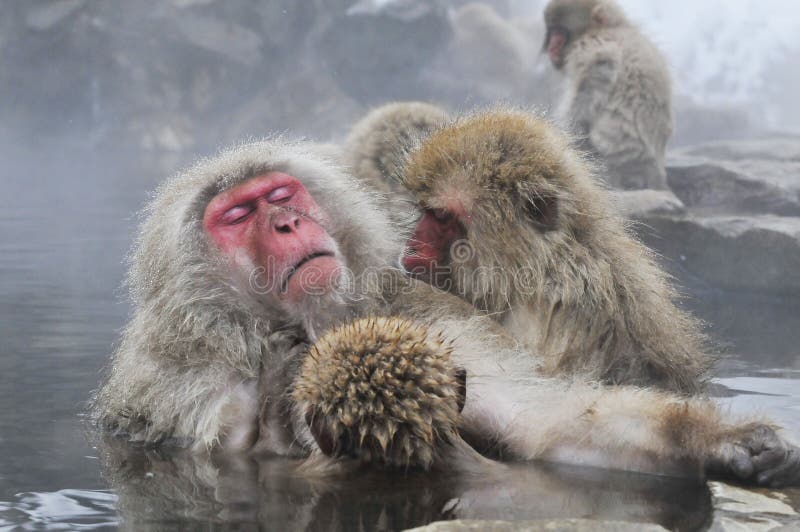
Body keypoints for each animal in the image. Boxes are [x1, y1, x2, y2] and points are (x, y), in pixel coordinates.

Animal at [93, 137, 800, 487]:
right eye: (239, 216)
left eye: (280, 195)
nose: (289, 222)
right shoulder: (180, 388)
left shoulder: (423, 314)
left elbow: (546, 422)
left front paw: (722, 443)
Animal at [543, 0, 673, 190]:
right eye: (552, 31)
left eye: (559, 32)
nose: (551, 48)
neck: (615, 26)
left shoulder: (590, 46)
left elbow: (597, 76)